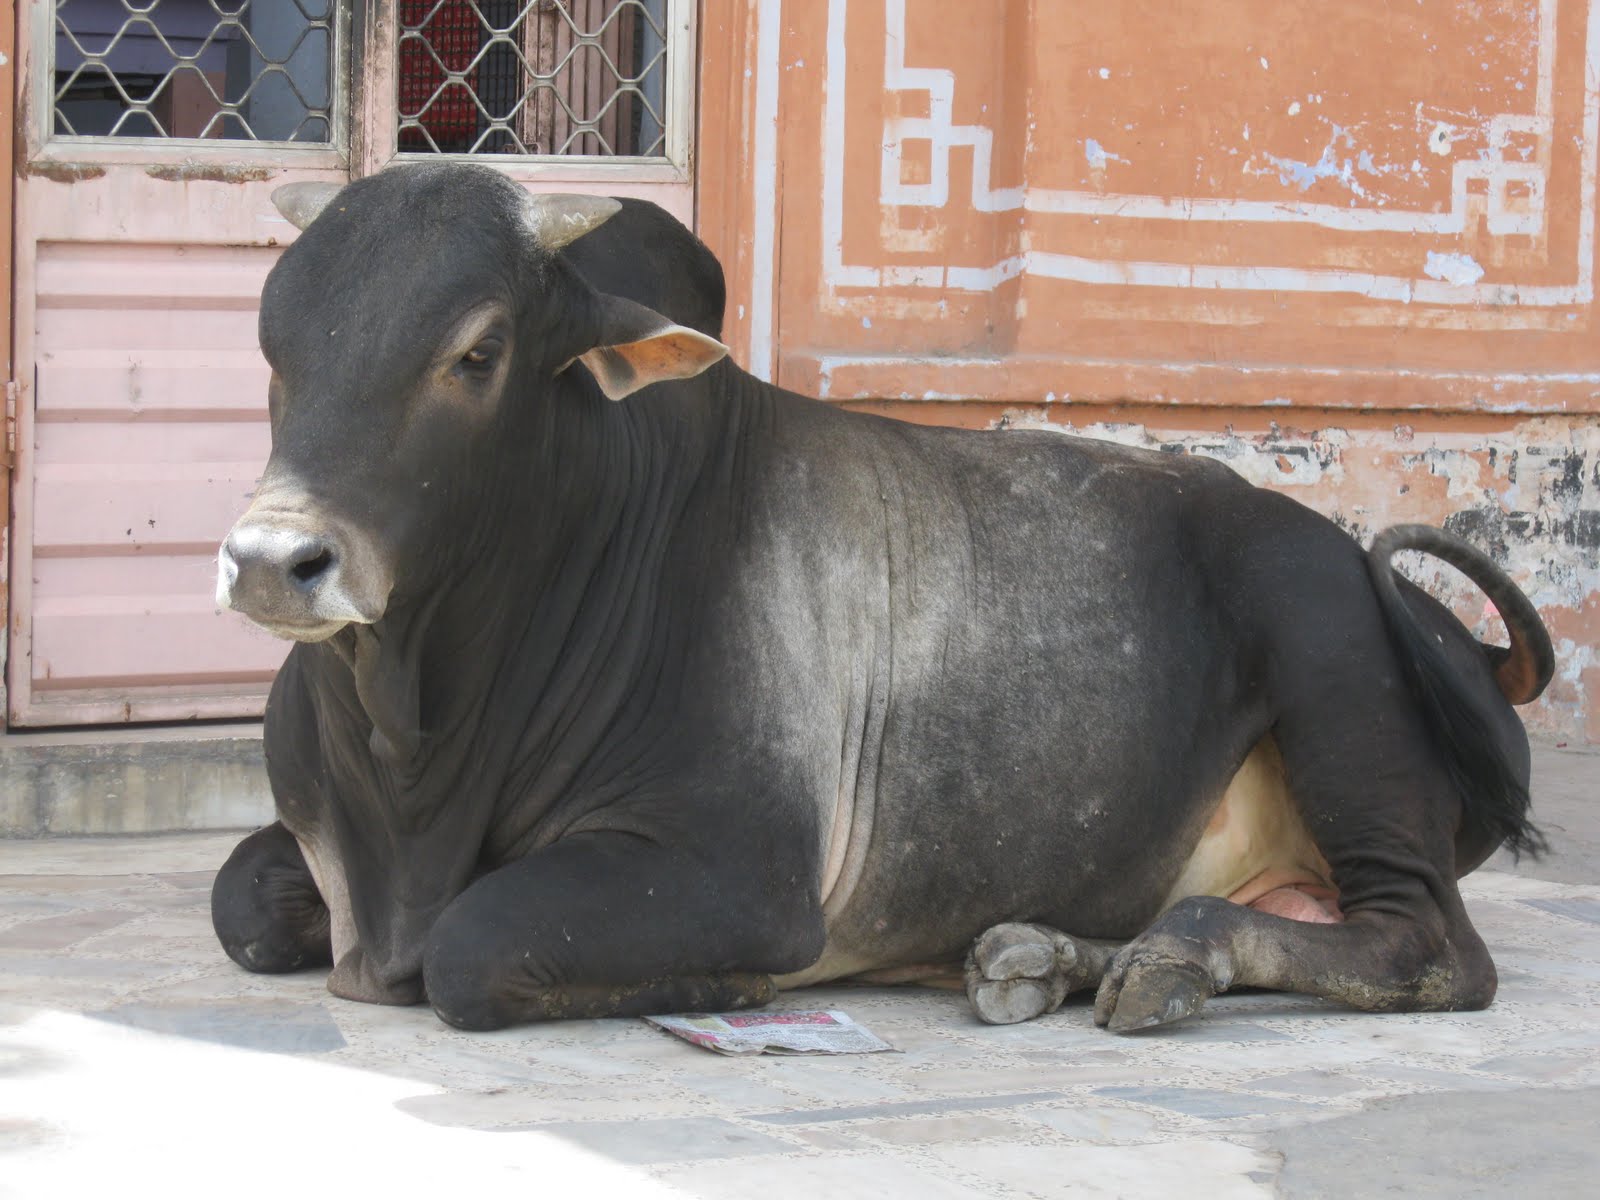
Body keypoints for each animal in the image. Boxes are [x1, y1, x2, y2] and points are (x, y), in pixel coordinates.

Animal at [211, 162, 1553, 1035]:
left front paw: (728, 989)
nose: (275, 560)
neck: (414, 747)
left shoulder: (733, 871)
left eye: (477, 352)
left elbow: (472, 947)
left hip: (1331, 664)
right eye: (274, 343)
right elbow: (243, 904)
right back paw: (1034, 955)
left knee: (1432, 949)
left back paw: (1172, 962)